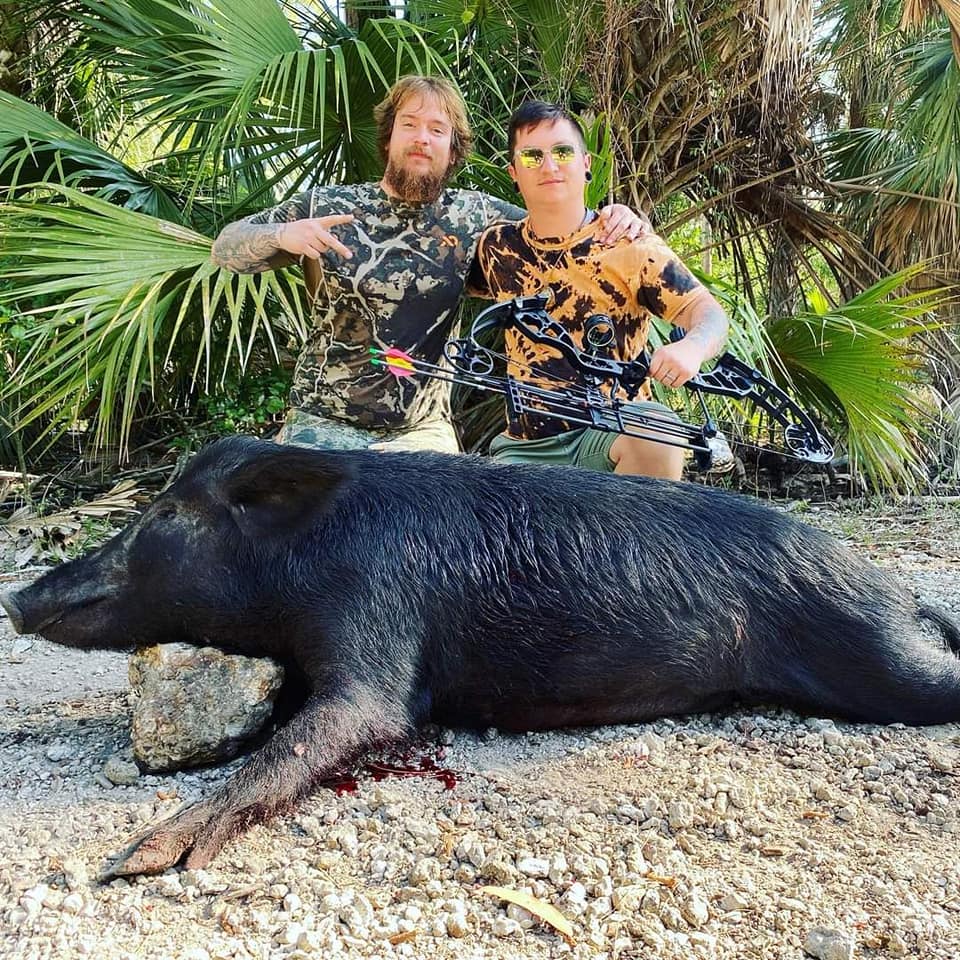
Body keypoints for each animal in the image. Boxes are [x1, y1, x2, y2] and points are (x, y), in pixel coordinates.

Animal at [2, 436, 959, 877]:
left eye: (167, 514)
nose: (16, 598)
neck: (304, 553)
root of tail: (897, 588)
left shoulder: (378, 620)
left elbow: (332, 728)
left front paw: (131, 861)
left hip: (869, 650)